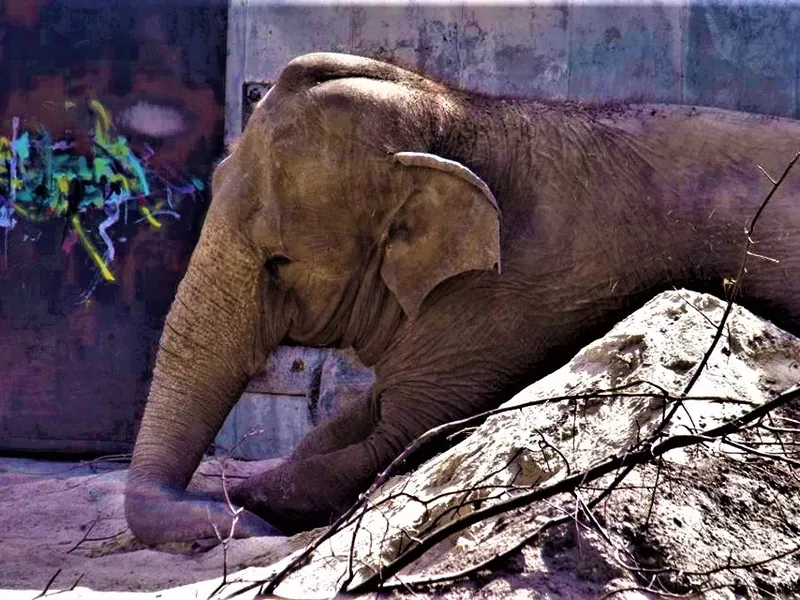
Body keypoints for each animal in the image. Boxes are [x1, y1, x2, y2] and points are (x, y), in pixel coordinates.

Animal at [125, 52, 800, 545]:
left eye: (279, 260)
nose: (218, 521)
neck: (466, 114)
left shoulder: (509, 301)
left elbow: (402, 435)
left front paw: (248, 501)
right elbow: (359, 417)